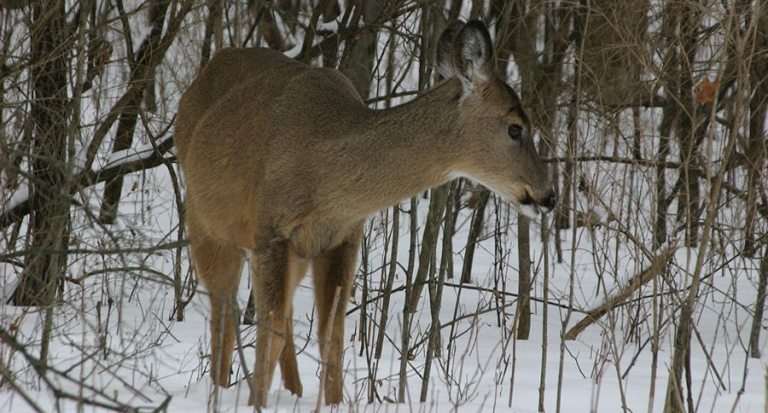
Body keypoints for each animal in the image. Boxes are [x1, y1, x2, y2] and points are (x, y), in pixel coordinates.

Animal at [174, 20, 556, 407]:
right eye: (515, 128)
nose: (548, 195)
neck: (324, 178)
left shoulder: (343, 236)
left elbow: (332, 333)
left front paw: (332, 402)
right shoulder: (271, 233)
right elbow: (271, 329)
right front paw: (257, 404)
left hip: (295, 253)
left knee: (282, 312)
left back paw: (293, 391)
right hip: (205, 222)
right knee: (225, 309)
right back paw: (219, 388)